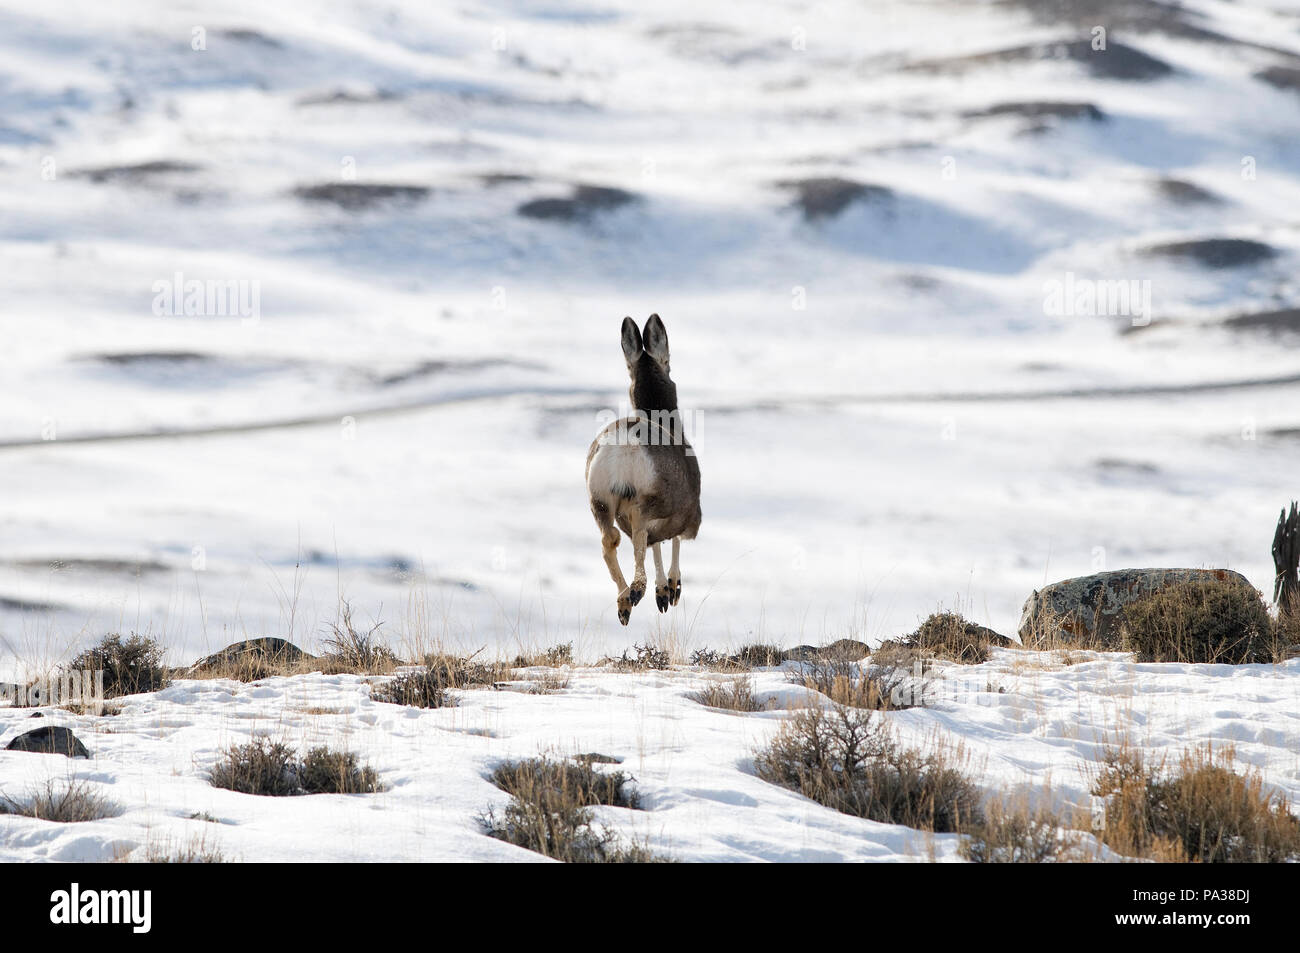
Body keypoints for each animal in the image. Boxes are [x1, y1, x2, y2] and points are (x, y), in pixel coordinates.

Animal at [586, 314, 701, 625]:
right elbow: (670, 542)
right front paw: (670, 589)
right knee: (640, 529)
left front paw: (663, 592)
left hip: (598, 498)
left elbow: (657, 544)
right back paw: (637, 590)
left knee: (610, 538)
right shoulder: (688, 513)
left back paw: (624, 601)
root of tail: (625, 440)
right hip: (654, 497)